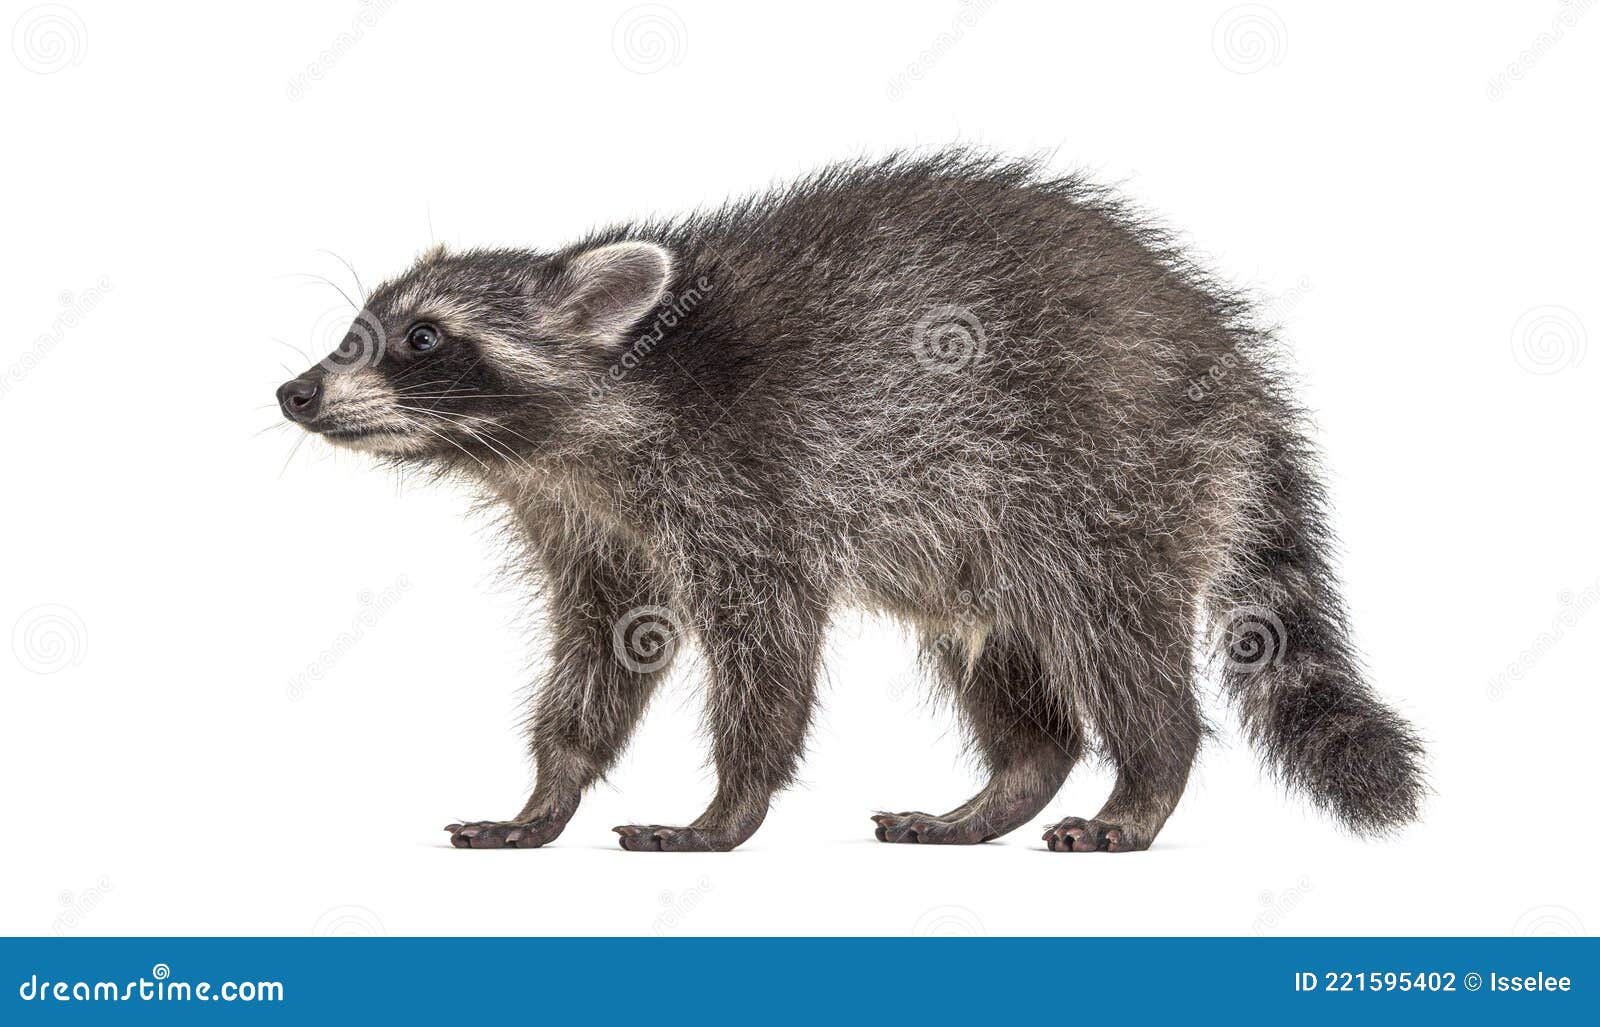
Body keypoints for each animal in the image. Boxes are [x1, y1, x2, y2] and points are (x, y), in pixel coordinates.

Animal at [278, 151, 1424, 852]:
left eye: (423, 338)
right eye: (355, 332)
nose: (296, 392)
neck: (574, 437)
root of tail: (1227, 361)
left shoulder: (749, 486)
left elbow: (769, 653)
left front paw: (730, 801)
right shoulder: (594, 528)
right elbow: (603, 653)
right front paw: (551, 785)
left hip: (1107, 472)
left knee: (1114, 634)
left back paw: (1146, 775)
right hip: (979, 537)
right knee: (1001, 662)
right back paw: (1009, 784)